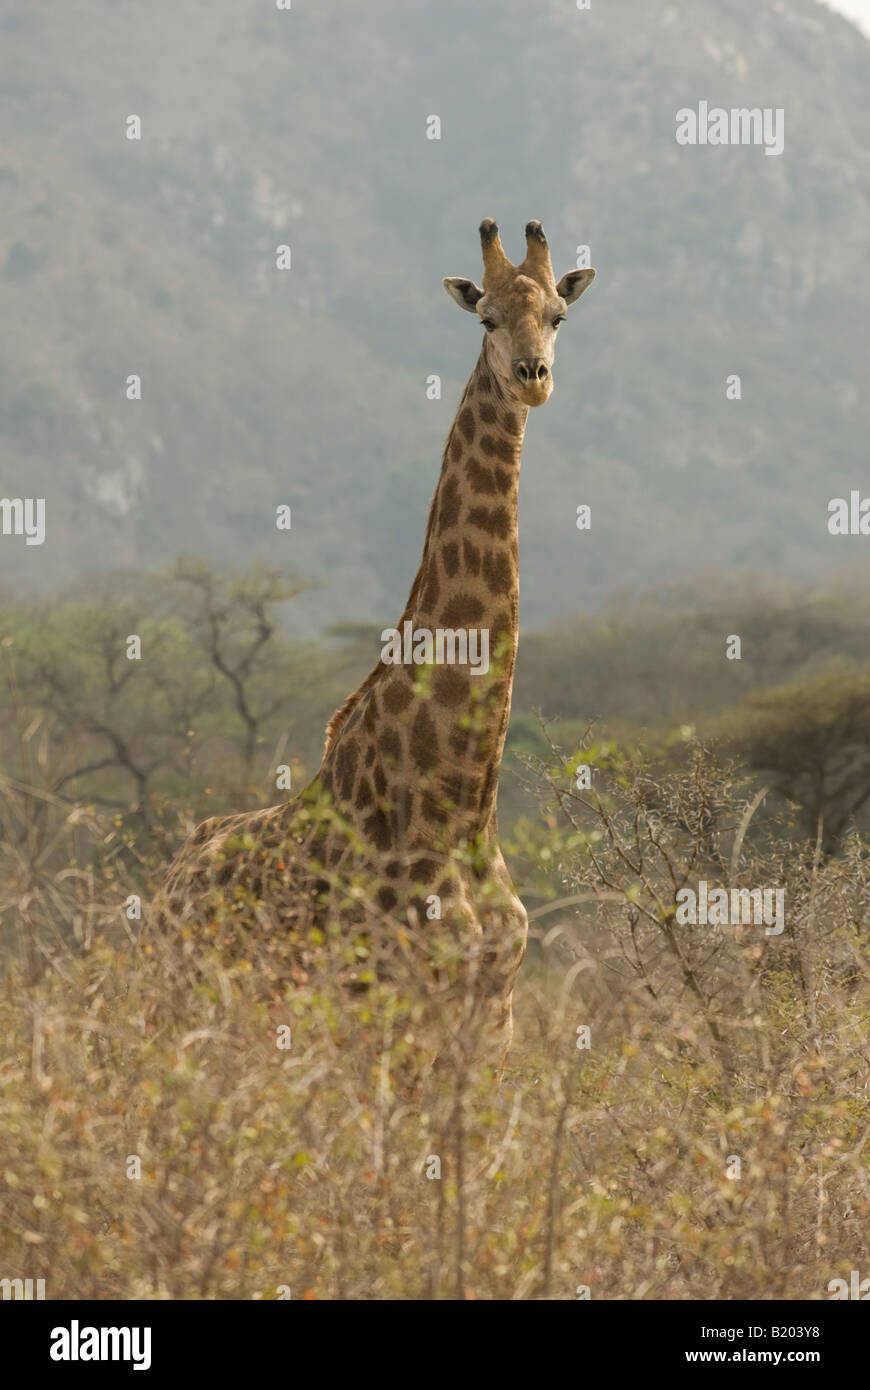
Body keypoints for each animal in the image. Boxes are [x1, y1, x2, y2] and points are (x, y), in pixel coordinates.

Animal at [153, 219, 595, 1073]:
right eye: (486, 317)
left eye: (558, 316)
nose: (533, 377)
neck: (459, 809)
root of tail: (172, 878)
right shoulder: (387, 1012)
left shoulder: (494, 1017)